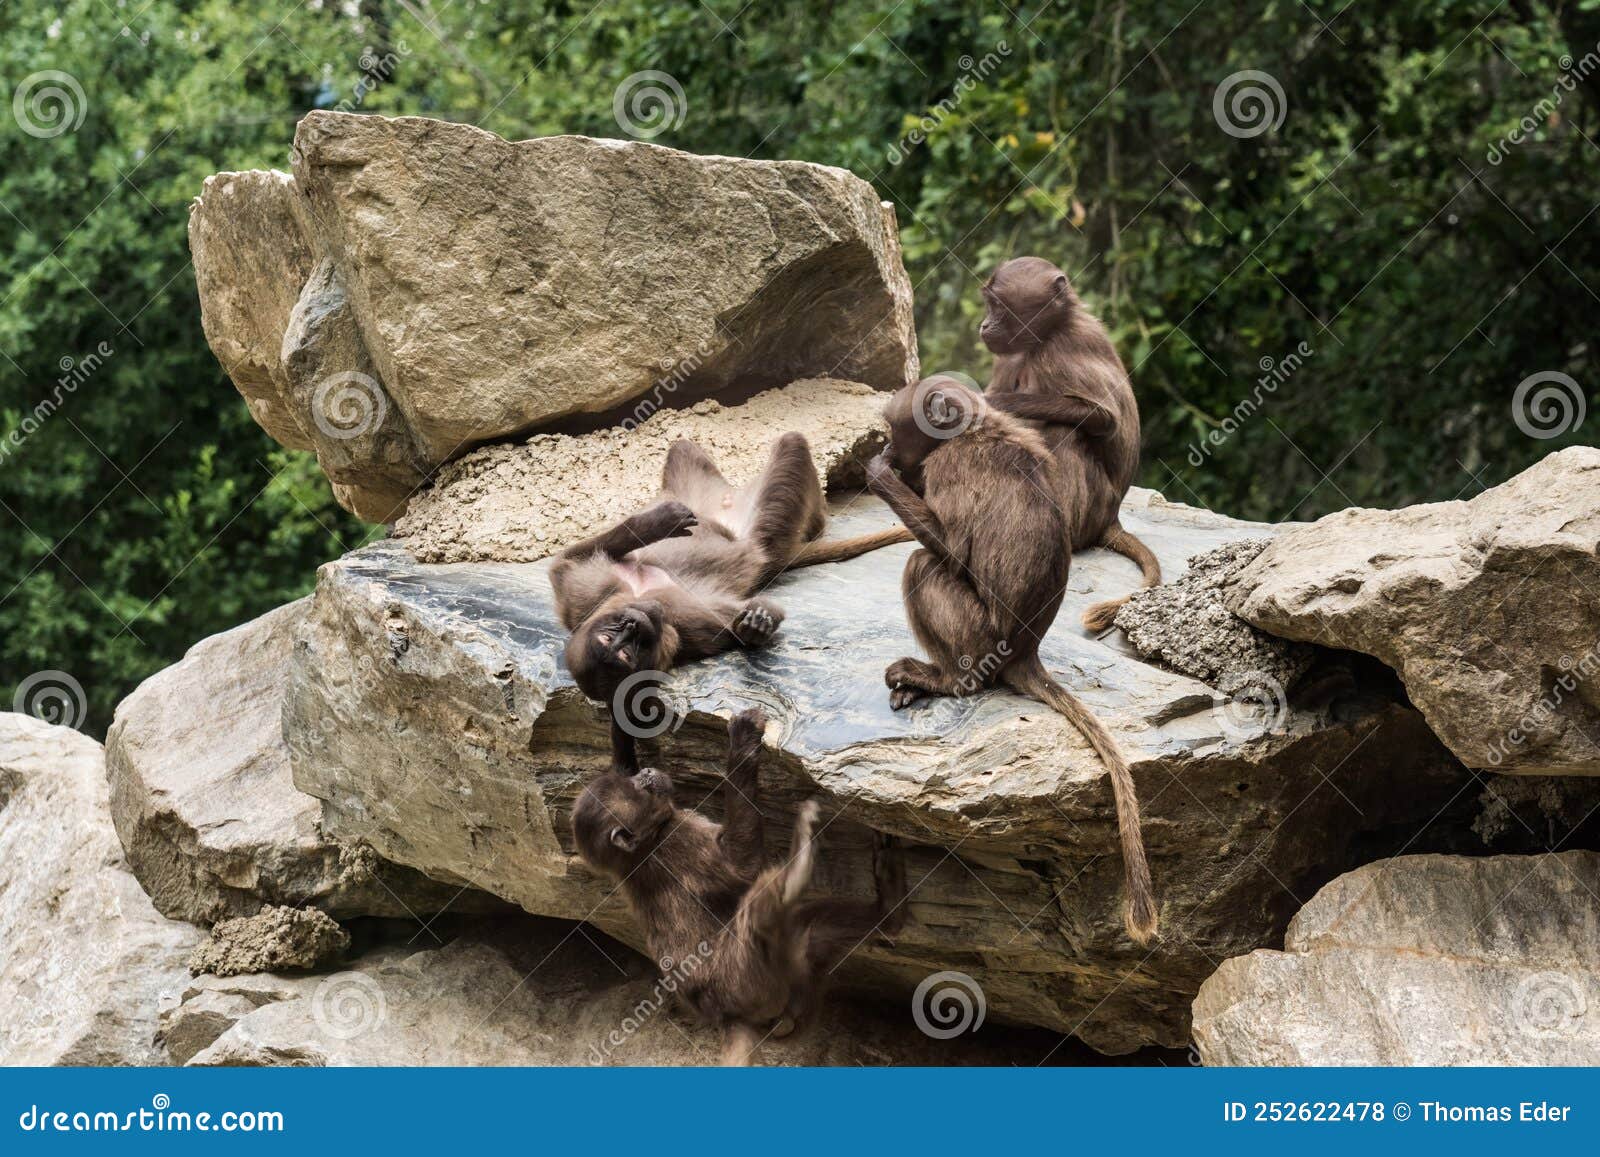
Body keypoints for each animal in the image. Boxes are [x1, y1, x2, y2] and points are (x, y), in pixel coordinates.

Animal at [550, 433, 910, 720]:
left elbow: (566, 561)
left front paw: (652, 524)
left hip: (705, 494)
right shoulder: (684, 625)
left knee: (690, 450)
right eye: (625, 652)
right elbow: (740, 620)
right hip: (766, 526)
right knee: (790, 453)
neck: (640, 596)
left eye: (614, 634)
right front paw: (755, 625)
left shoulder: (584, 593)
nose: (633, 624)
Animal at [572, 706, 908, 1065]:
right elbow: (741, 863)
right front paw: (742, 742)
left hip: (791, 981)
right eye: (640, 787)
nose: (647, 770)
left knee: (813, 930)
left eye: (634, 779)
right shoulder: (685, 842)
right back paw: (798, 864)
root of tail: (730, 1017)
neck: (640, 850)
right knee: (756, 913)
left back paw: (889, 907)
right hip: (742, 978)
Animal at [863, 375, 1156, 943]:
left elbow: (953, 552)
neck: (978, 428)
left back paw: (941, 680)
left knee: (923, 564)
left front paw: (878, 474)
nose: (887, 447)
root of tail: (1026, 651)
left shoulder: (947, 467)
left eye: (893, 427)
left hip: (977, 638)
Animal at [979, 256, 1161, 633]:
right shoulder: (1009, 356)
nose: (984, 325)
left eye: (999, 306)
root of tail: (1111, 518)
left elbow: (1104, 418)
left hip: (1095, 504)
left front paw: (992, 403)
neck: (1042, 338)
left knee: (1066, 432)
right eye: (989, 304)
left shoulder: (1067, 347)